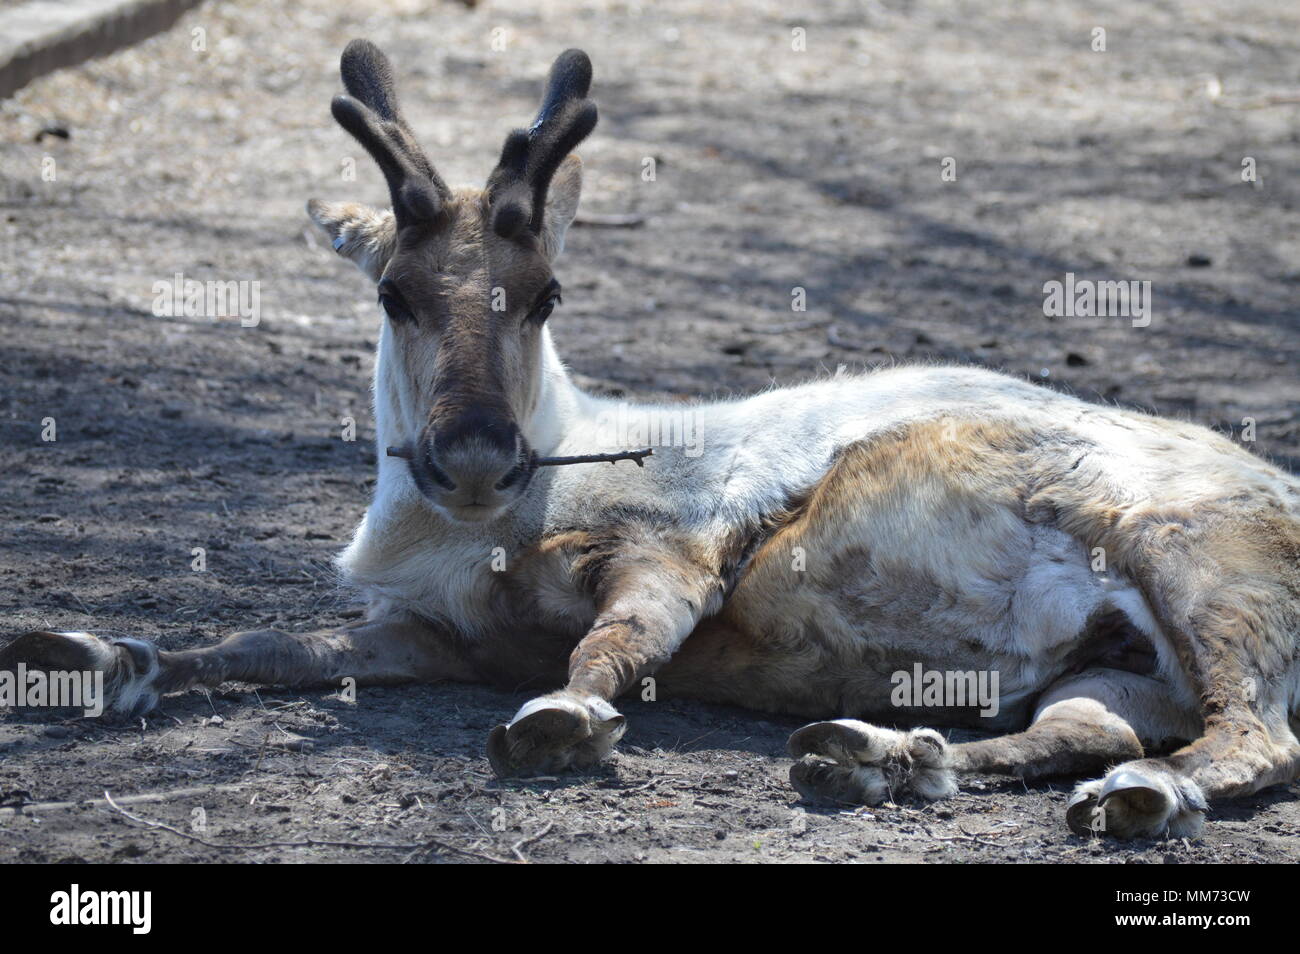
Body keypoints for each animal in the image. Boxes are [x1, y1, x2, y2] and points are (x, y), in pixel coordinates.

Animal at [6, 40, 1298, 840]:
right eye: (393, 293)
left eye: (547, 292)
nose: (474, 455)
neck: (485, 529)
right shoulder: (430, 633)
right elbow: (263, 640)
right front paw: (79, 655)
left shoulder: (666, 552)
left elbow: (617, 642)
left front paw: (561, 726)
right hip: (1120, 663)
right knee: (1074, 726)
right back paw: (873, 757)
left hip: (1197, 567)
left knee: (1253, 738)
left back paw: (1139, 797)